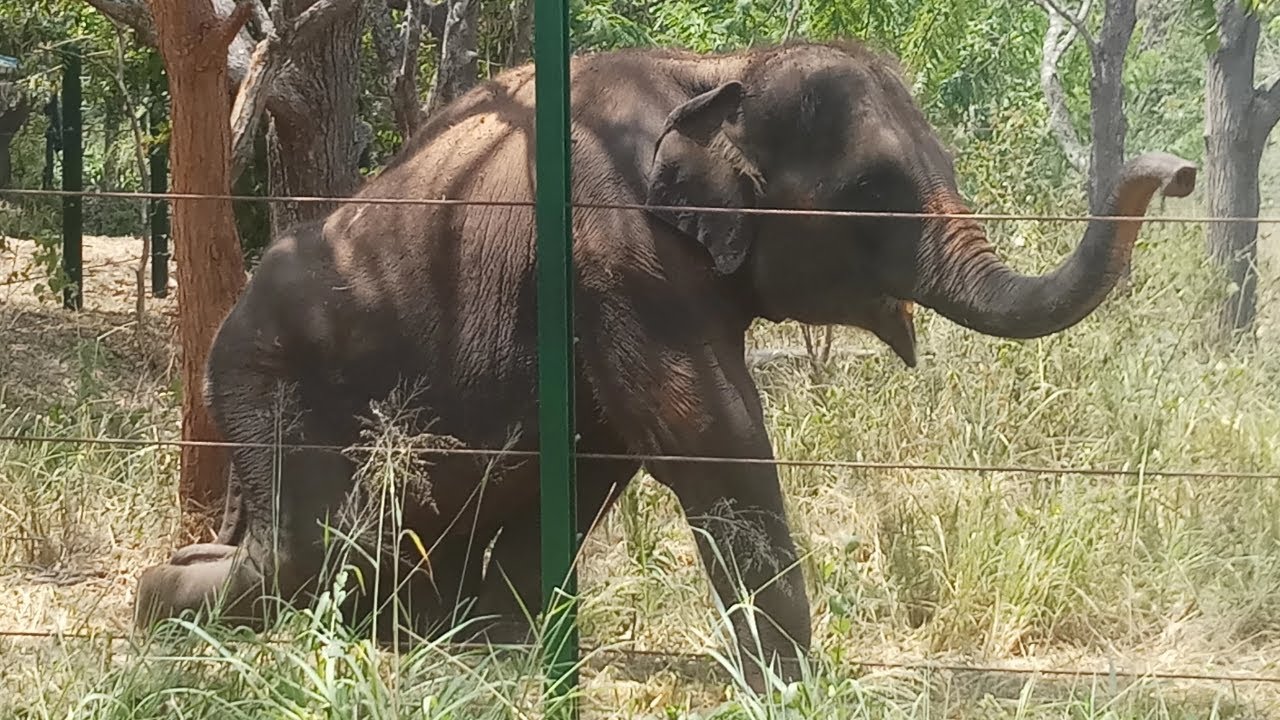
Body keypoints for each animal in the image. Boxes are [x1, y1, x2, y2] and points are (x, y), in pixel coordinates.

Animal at [133, 39, 1196, 690]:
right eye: (871, 188)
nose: (1178, 171)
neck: (717, 73)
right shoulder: (616, 246)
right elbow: (705, 430)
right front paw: (793, 685)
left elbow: (604, 445)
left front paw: (503, 649)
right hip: (267, 377)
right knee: (320, 545)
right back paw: (158, 603)